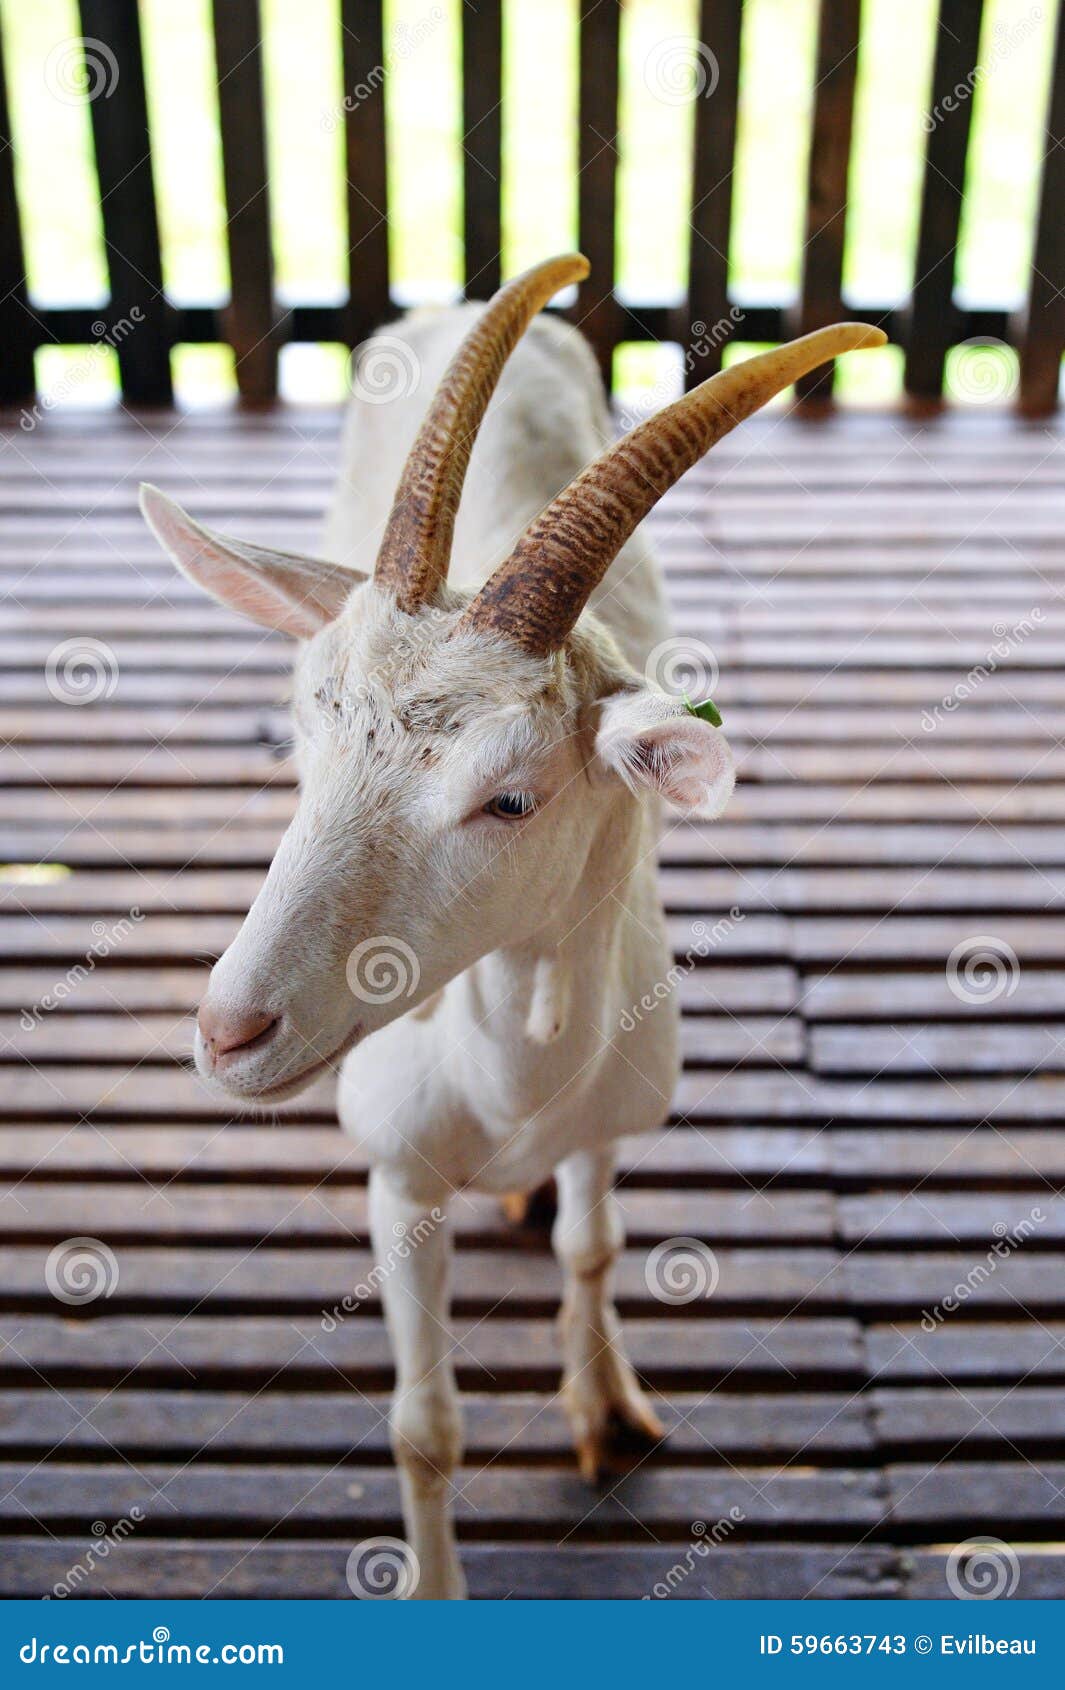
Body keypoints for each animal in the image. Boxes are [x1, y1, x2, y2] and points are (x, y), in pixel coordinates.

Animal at [140, 255, 883, 1599]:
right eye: (308, 728)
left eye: (514, 798)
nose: (231, 1030)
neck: (511, 1090)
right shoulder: (399, 1175)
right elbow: (425, 1426)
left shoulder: (609, 1120)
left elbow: (594, 1245)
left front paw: (608, 1412)